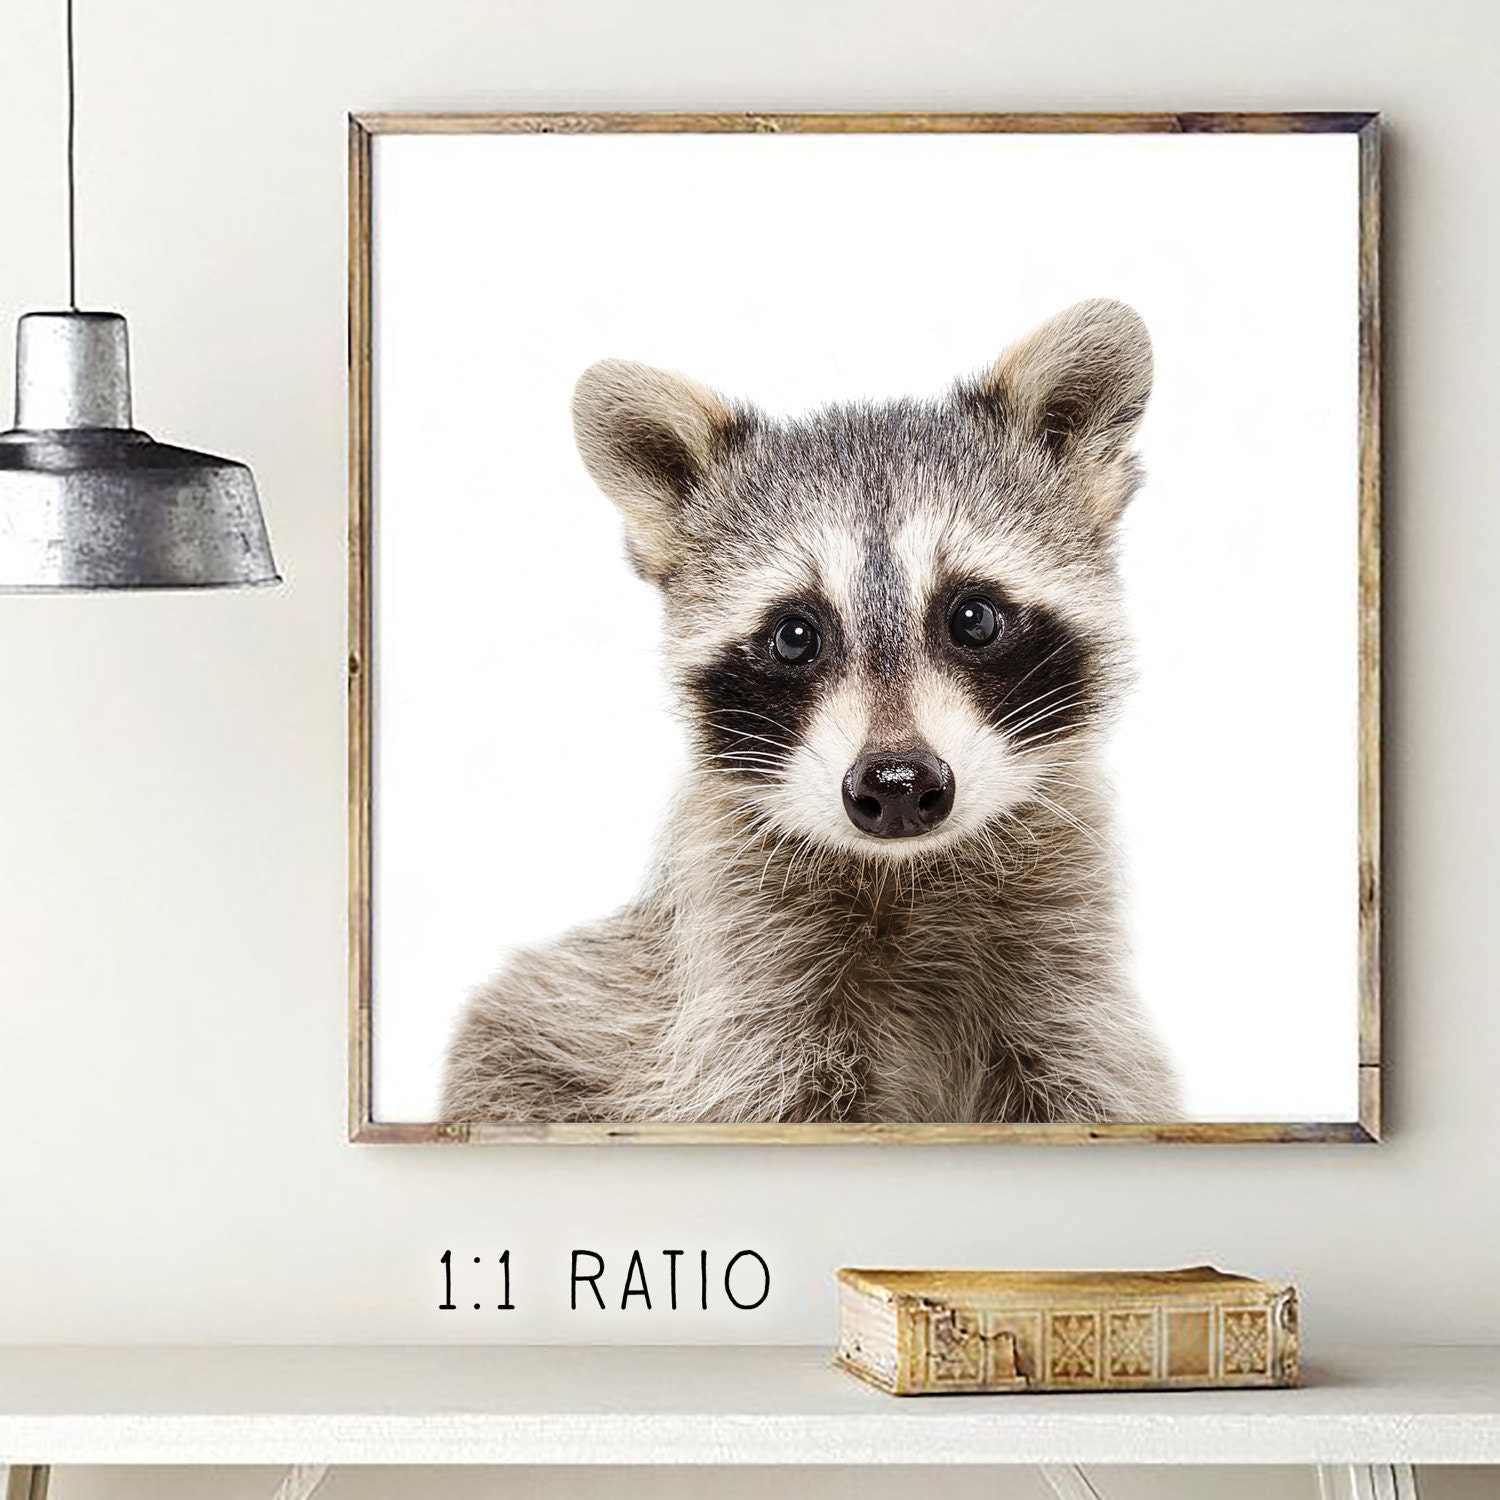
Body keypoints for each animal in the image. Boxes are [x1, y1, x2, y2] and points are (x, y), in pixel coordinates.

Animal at [441, 299, 1181, 1125]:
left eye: (974, 618)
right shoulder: (743, 997)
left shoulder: (1066, 985)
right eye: (795, 636)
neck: (904, 874)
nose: (898, 785)